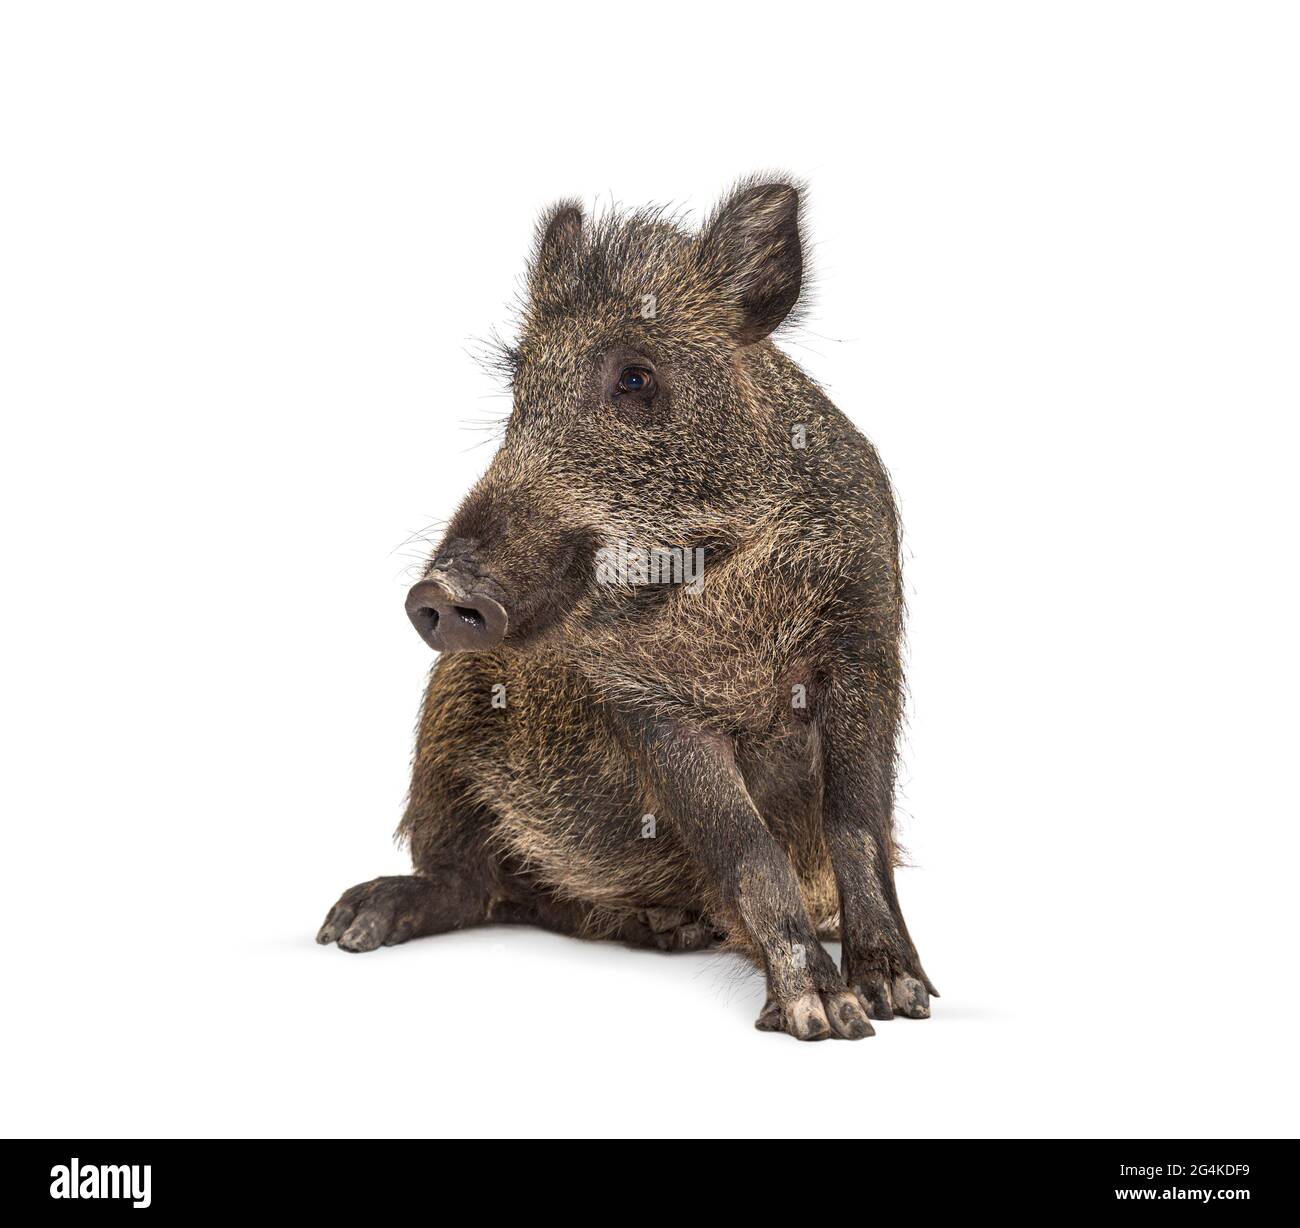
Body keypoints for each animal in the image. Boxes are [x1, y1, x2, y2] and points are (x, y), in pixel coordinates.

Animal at [316, 178, 936, 1040]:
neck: (717, 579)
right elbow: (747, 849)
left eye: (636, 379)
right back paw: (352, 923)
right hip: (449, 714)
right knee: (476, 883)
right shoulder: (646, 700)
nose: (438, 595)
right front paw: (824, 1015)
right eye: (520, 391)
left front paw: (898, 998)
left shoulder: (864, 641)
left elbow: (858, 823)